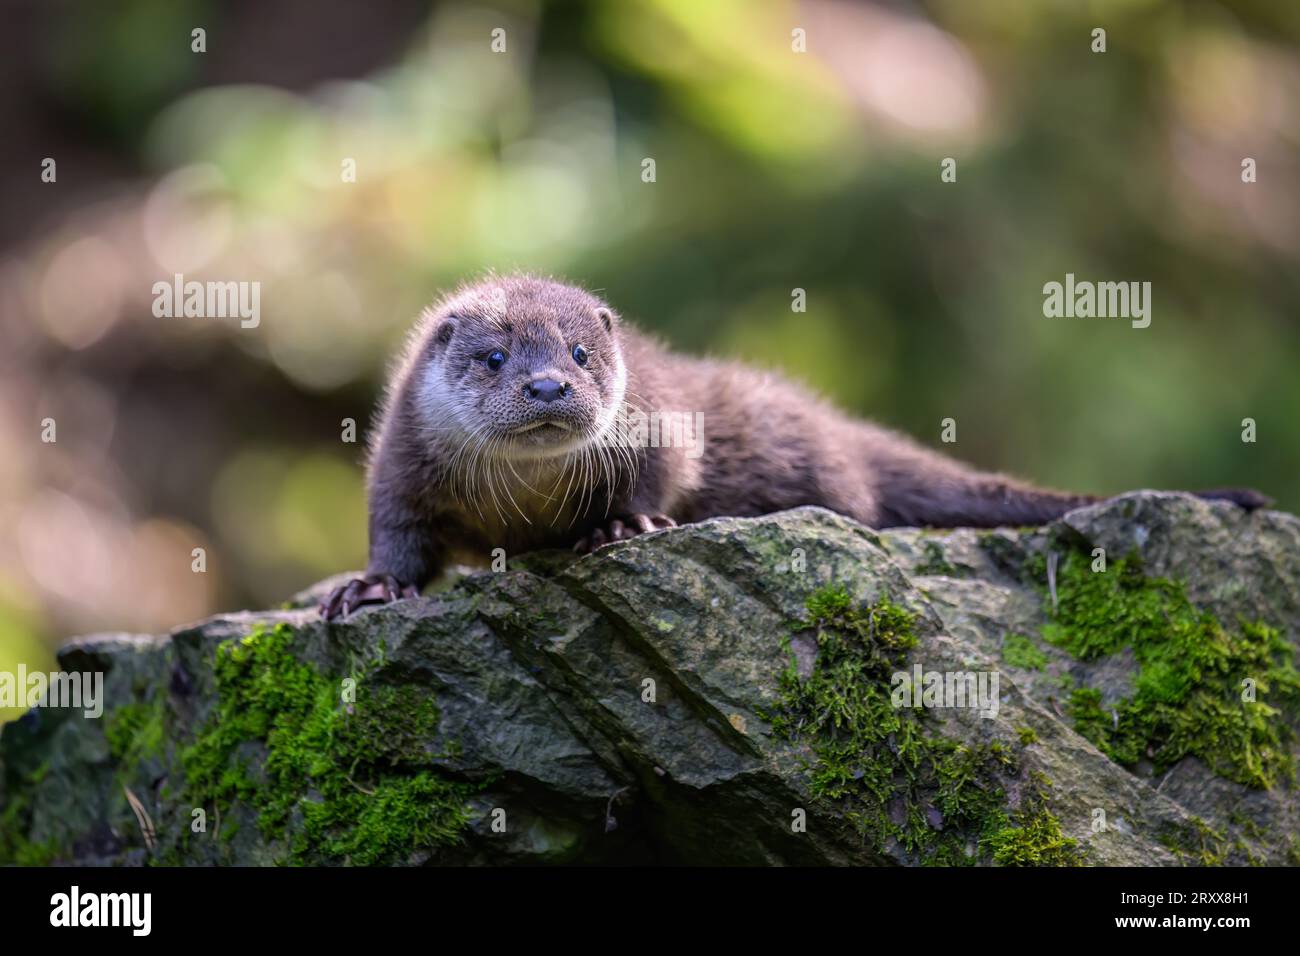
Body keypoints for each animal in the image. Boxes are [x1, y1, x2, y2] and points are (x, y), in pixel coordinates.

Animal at [320, 275, 1268, 618]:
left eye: (582, 354)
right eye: (495, 357)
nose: (549, 387)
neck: (524, 499)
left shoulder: (662, 426)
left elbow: (661, 477)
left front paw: (622, 530)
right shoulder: (400, 458)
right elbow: (396, 531)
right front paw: (370, 588)